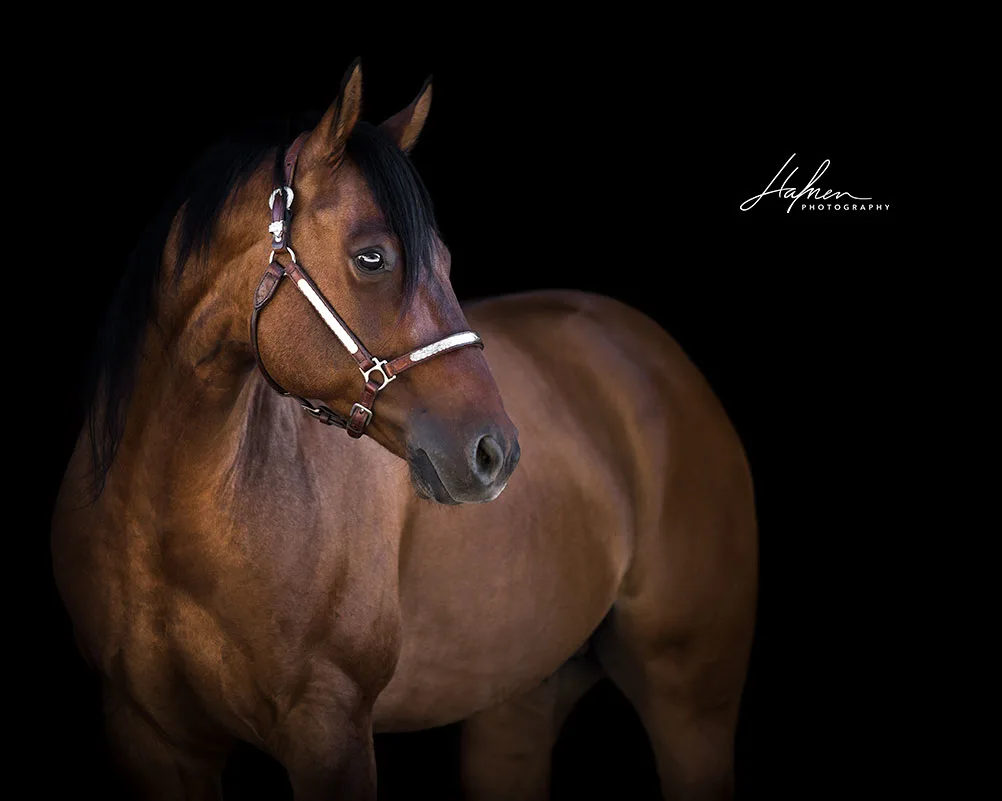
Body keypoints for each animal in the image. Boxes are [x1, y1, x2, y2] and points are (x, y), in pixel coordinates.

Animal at [51, 60, 757, 800]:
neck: (169, 522)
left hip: (691, 704)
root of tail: (650, 351)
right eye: (372, 258)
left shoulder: (329, 730)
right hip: (517, 702)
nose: (495, 452)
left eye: (444, 259)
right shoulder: (149, 736)